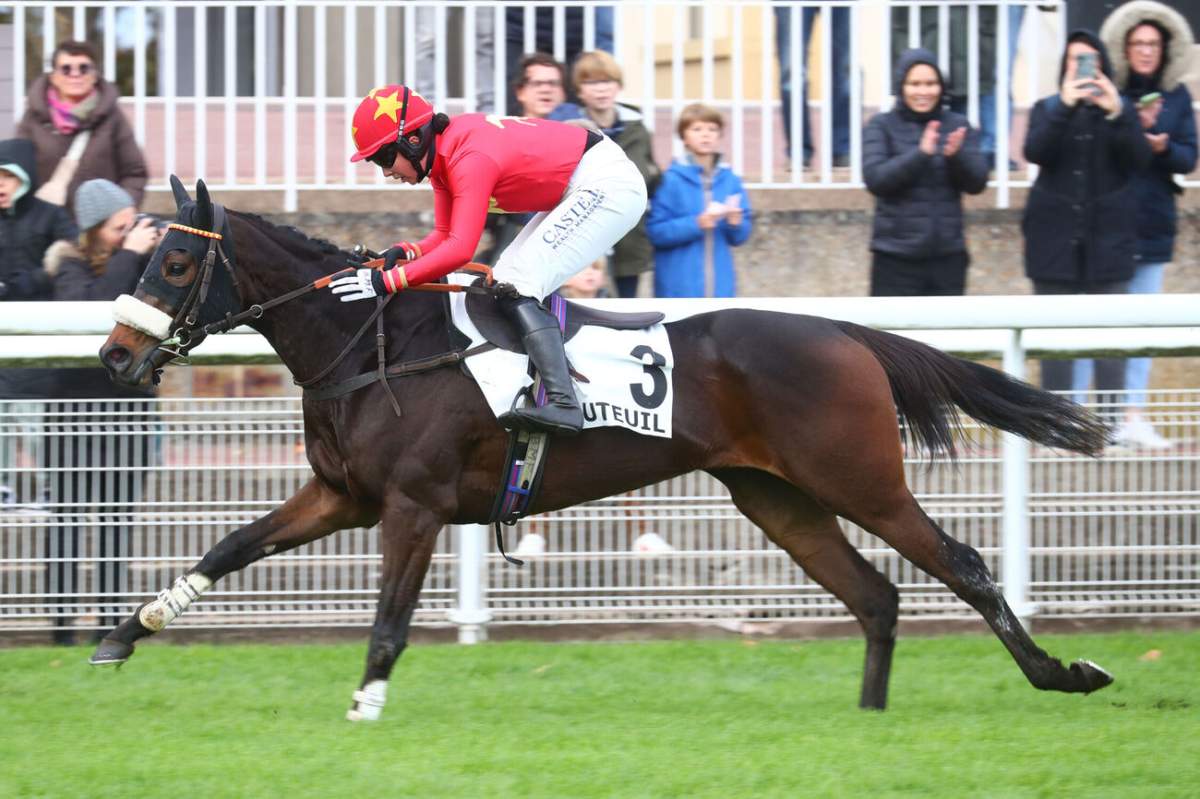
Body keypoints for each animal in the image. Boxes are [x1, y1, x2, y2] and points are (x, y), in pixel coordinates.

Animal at [90, 178, 1114, 721]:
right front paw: (124, 632)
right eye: (138, 253)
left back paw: (1066, 672)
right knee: (876, 594)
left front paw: (365, 706)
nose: (114, 355)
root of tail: (843, 331)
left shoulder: (415, 505)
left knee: (963, 563)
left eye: (174, 262)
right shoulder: (344, 495)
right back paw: (868, 716)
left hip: (859, 477)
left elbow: (388, 619)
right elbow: (229, 546)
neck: (372, 343)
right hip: (776, 496)